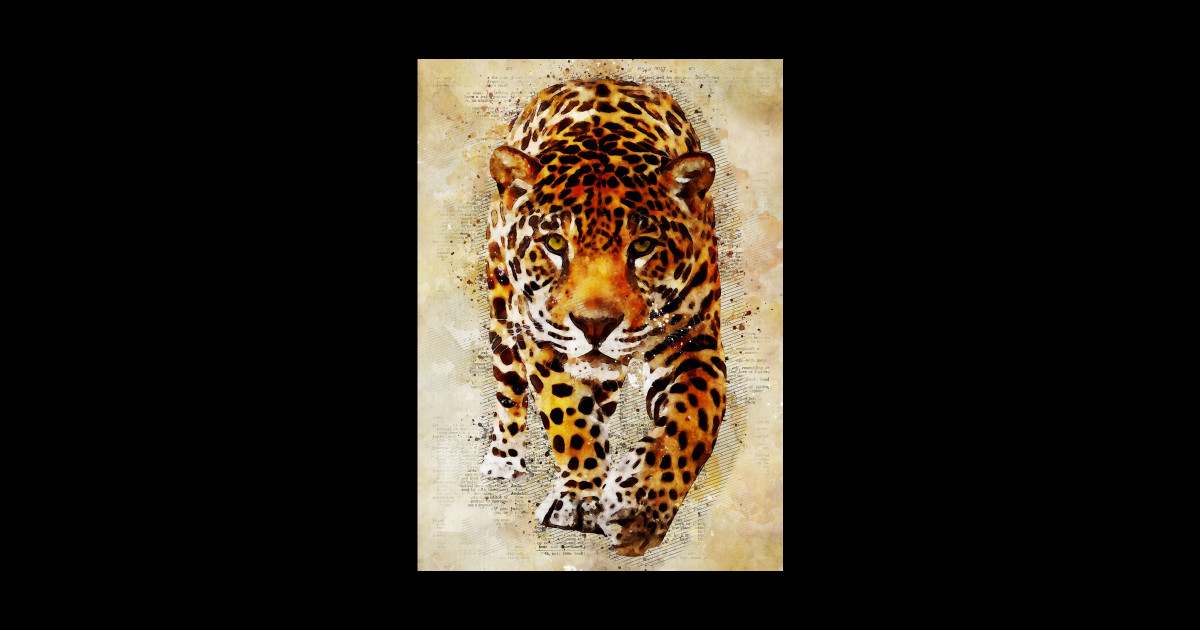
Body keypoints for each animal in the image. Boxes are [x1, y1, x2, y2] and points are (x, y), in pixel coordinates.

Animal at [479, 79, 726, 557]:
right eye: (555, 243)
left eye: (643, 246)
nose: (595, 325)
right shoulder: (543, 338)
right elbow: (567, 412)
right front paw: (579, 498)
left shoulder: (695, 340)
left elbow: (693, 421)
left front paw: (638, 508)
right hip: (503, 315)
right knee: (509, 389)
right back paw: (504, 459)